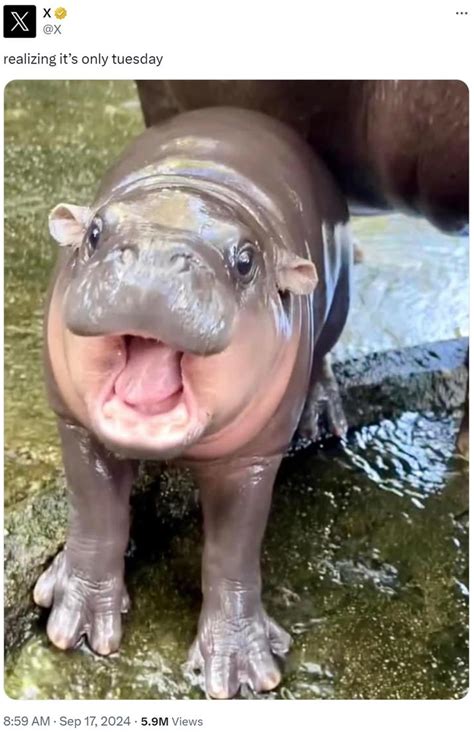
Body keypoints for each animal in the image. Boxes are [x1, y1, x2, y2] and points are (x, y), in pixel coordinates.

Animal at [34, 108, 353, 698]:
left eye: (246, 261)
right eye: (93, 233)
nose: (156, 262)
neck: (195, 187)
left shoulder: (252, 459)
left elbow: (232, 553)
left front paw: (242, 671)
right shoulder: (77, 424)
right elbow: (95, 516)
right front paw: (74, 626)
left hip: (338, 303)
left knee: (326, 354)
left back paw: (322, 417)